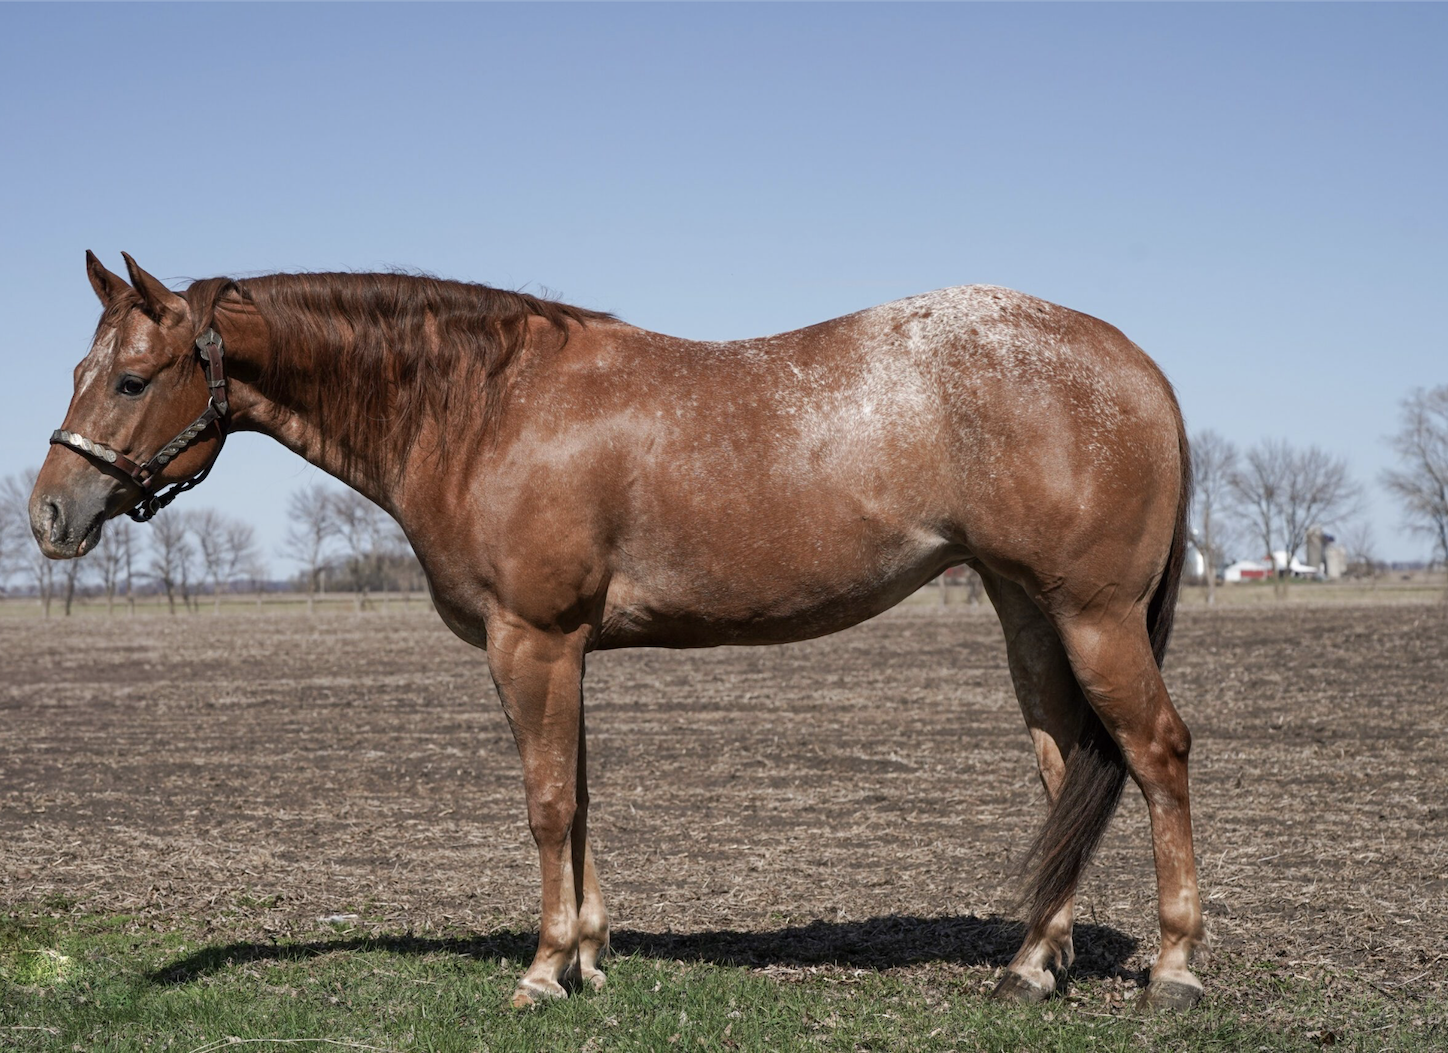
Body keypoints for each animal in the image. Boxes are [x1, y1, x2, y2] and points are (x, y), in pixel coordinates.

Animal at [30, 252, 1203, 1010]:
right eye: (81, 372)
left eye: (132, 378)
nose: (48, 515)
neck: (484, 407)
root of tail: (1135, 363)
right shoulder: (565, 650)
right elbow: (582, 796)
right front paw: (590, 956)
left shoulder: (531, 641)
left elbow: (548, 804)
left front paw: (542, 971)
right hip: (1026, 609)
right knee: (1066, 764)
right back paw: (1030, 963)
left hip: (1093, 616)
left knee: (1156, 754)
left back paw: (1175, 969)